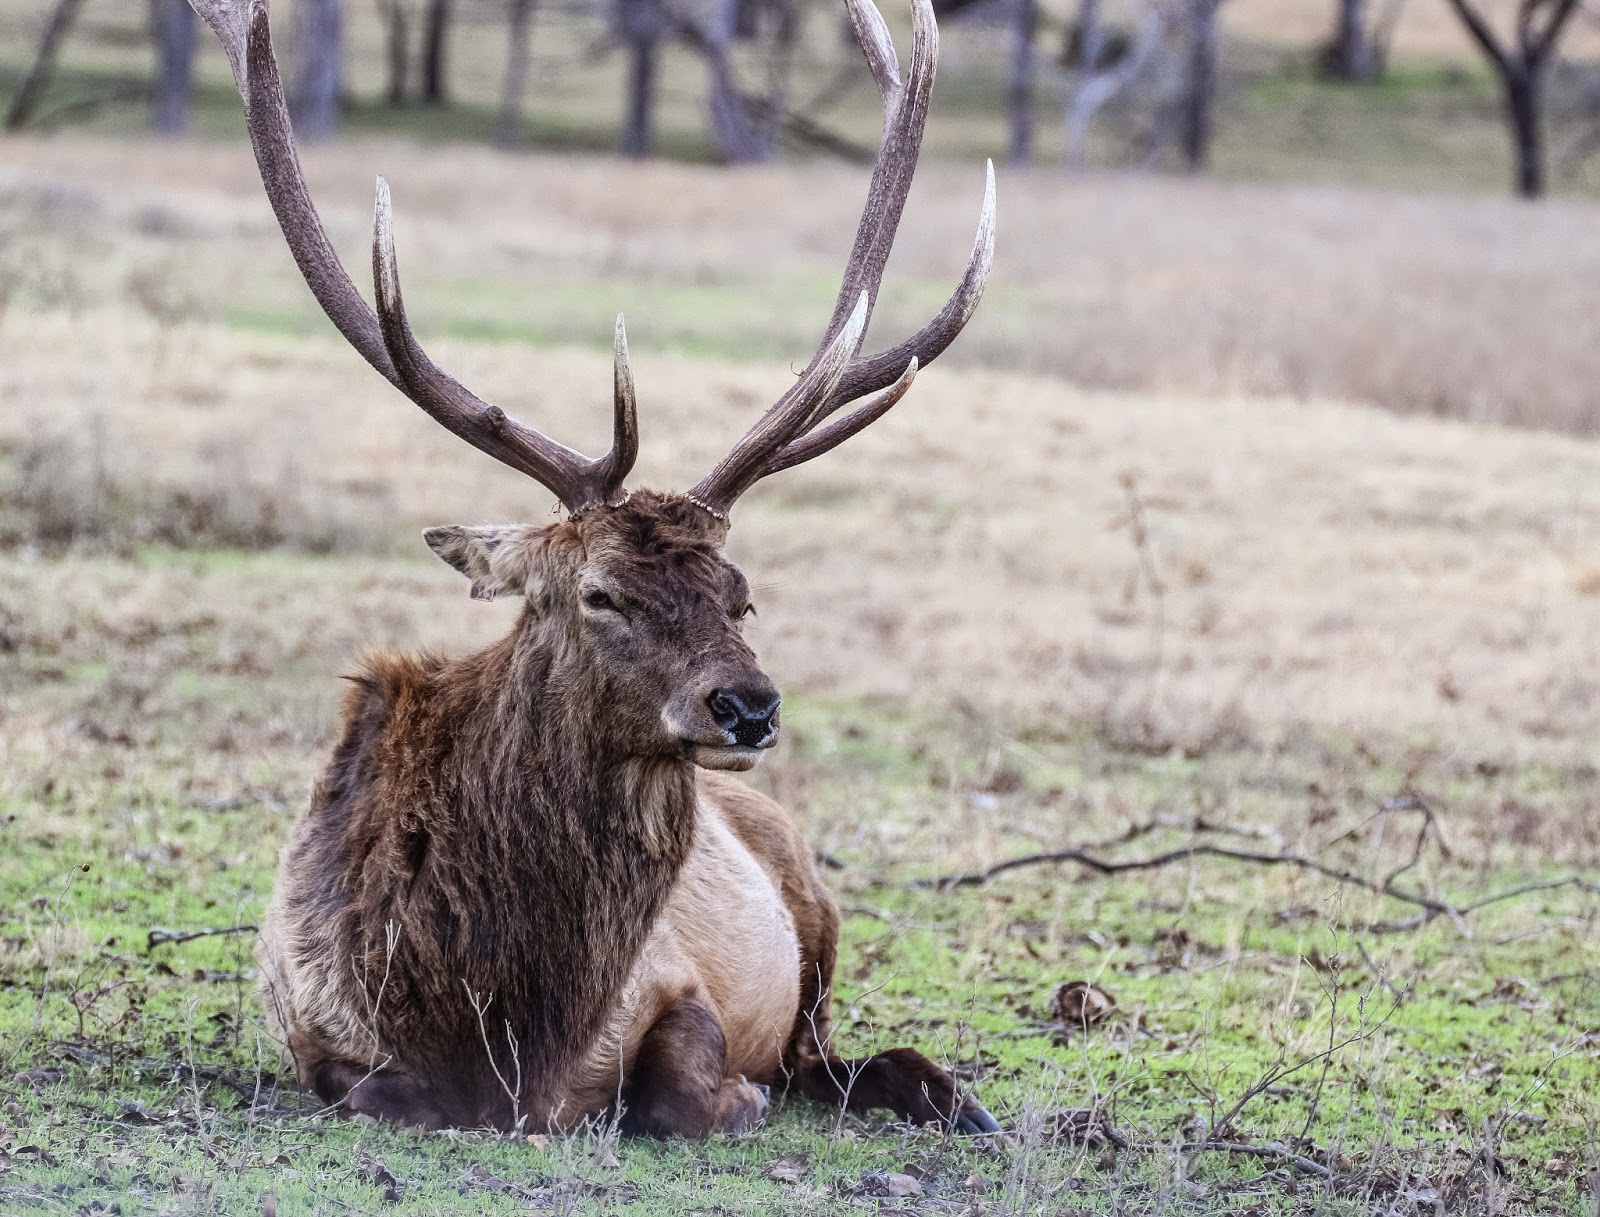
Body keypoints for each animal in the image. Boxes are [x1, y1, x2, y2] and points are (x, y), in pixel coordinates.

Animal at [188, 0, 998, 1137]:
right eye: (601, 592)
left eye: (741, 594)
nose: (749, 706)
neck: (506, 1028)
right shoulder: (319, 1036)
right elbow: (374, 1090)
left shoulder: (676, 984)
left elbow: (687, 1088)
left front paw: (739, 1092)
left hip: (812, 900)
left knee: (835, 1047)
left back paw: (944, 1094)